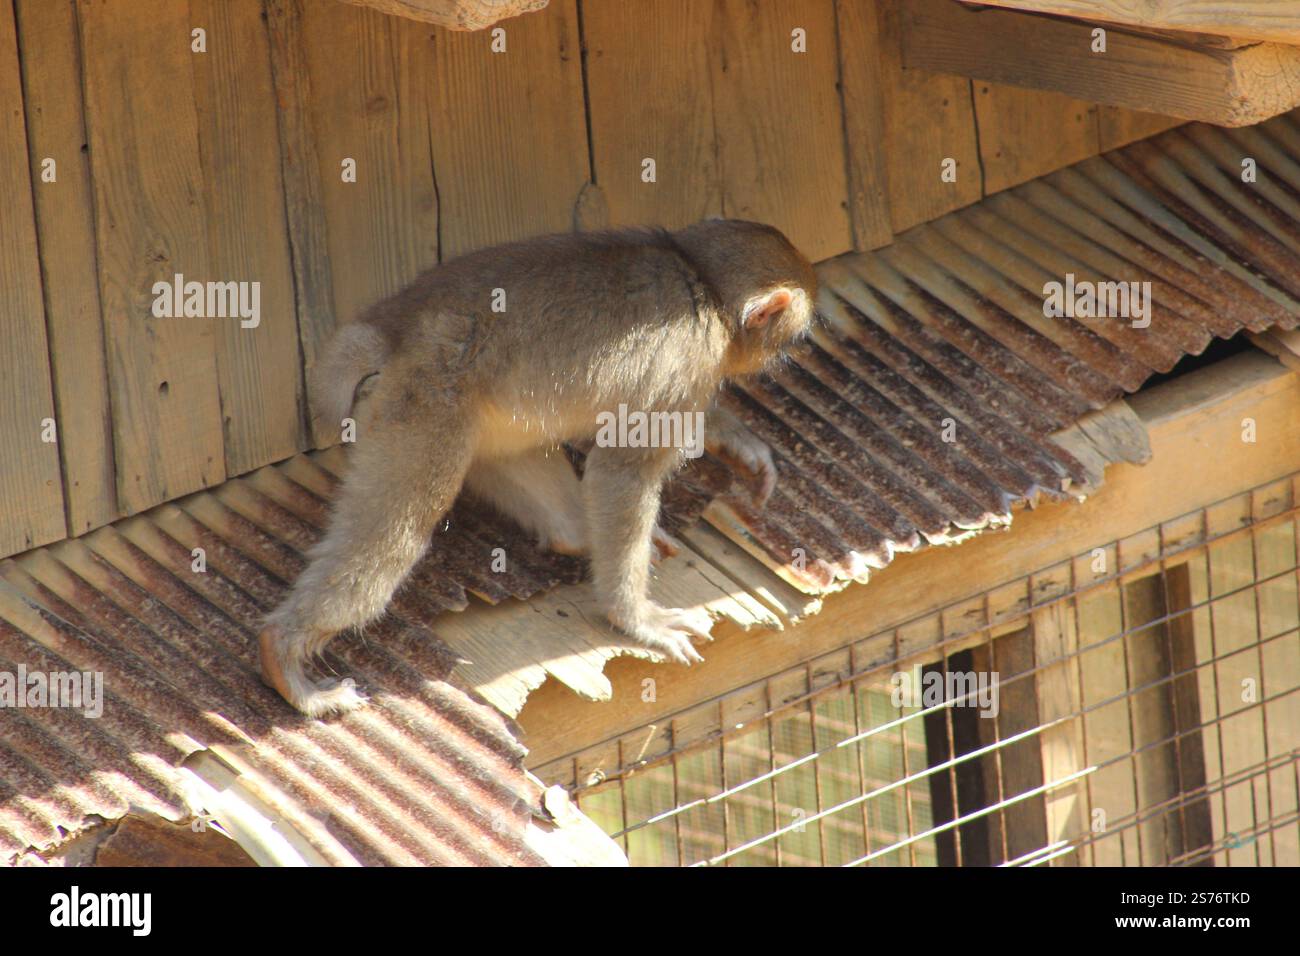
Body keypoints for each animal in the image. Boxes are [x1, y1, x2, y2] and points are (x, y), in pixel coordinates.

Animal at [259, 219, 818, 717]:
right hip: (422, 400)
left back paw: (577, 536)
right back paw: (283, 652)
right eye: (790, 338)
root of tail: (390, 329)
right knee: (395, 535)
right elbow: (621, 472)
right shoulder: (686, 363)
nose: (786, 358)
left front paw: (734, 441)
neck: (699, 276)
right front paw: (635, 619)